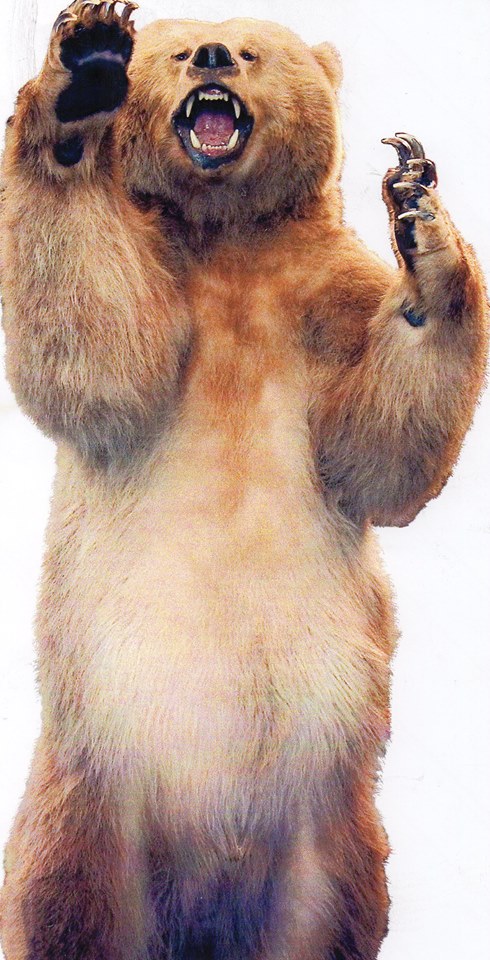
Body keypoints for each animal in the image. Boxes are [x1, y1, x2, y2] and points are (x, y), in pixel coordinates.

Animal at [0, 1, 487, 958]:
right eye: (179, 49)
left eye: (255, 52)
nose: (216, 54)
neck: (223, 235)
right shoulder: (161, 270)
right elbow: (104, 358)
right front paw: (81, 84)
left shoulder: (326, 296)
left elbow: (375, 453)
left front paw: (421, 221)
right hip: (89, 794)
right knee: (67, 905)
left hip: (331, 826)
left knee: (331, 913)